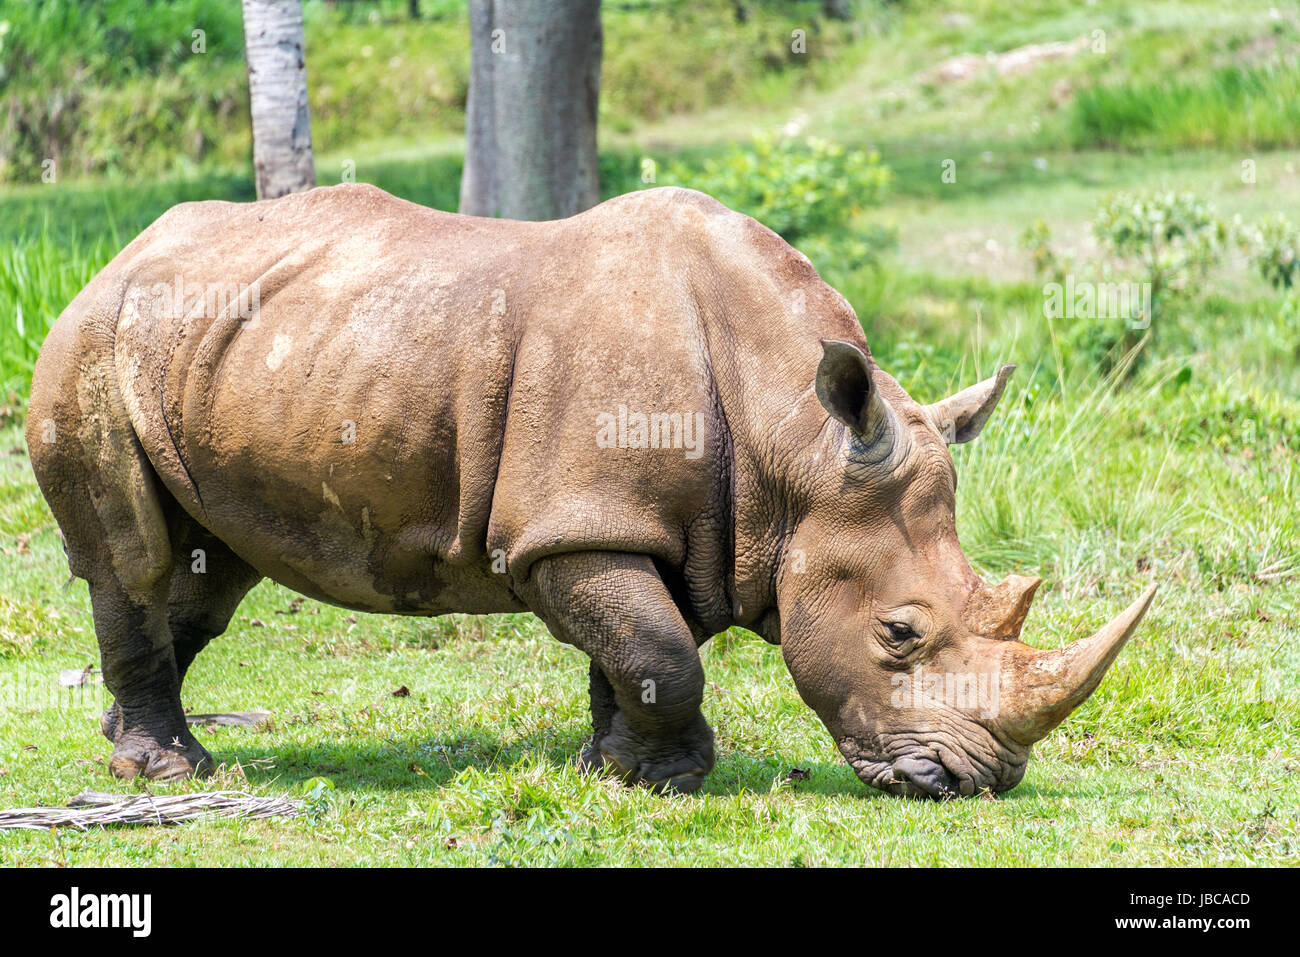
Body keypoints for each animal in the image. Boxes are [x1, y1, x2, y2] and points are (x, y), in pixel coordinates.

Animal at [27, 184, 1155, 798]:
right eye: (900, 635)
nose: (979, 779)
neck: (796, 442)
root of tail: (119, 256)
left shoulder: (658, 526)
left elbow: (640, 651)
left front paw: (613, 769)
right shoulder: (569, 529)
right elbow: (660, 652)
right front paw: (671, 780)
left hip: (208, 350)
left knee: (208, 576)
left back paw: (140, 744)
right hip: (88, 343)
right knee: (134, 560)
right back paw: (170, 774)